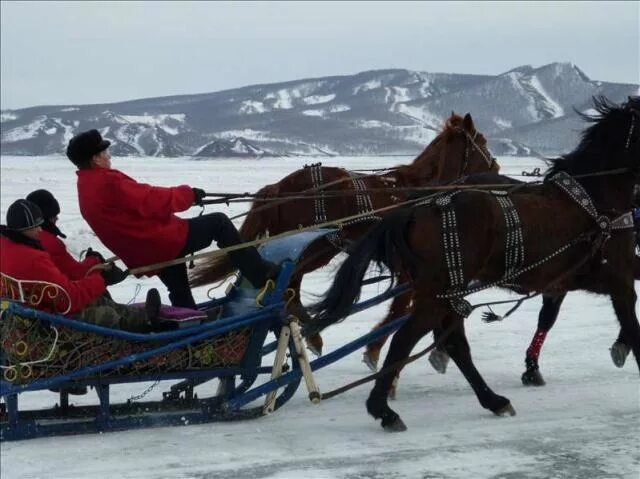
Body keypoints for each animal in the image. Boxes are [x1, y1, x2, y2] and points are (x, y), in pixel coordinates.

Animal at [190, 111, 500, 352]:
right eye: (483, 143)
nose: (497, 167)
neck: (419, 191)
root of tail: (279, 188)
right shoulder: (409, 268)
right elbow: (401, 308)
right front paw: (374, 351)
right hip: (315, 248)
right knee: (289, 286)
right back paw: (309, 333)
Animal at [310, 96, 640, 432]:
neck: (595, 201)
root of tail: (416, 207)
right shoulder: (619, 280)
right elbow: (633, 328)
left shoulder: (571, 281)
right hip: (437, 293)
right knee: (407, 339)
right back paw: (384, 410)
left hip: (446, 291)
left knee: (452, 341)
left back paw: (492, 400)